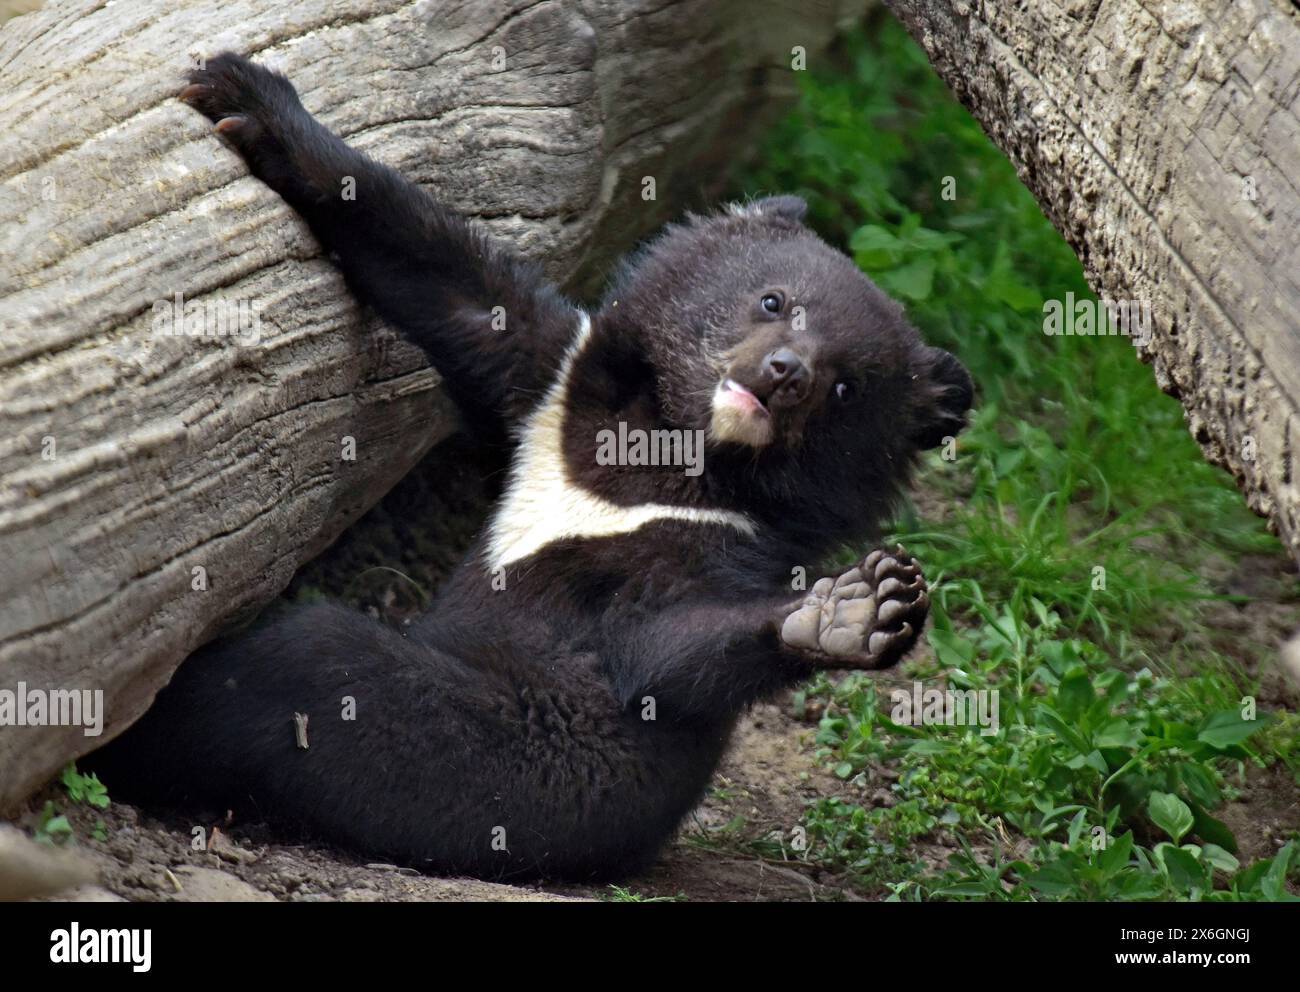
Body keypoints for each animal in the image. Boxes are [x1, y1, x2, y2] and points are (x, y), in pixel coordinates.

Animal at [86, 53, 974, 882]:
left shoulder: (701, 543)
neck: (672, 451)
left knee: (308, 662)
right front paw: (242, 95)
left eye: (846, 385)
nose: (785, 374)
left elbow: (663, 645)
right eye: (774, 301)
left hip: (488, 769)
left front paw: (856, 609)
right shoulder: (552, 389)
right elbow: (459, 290)